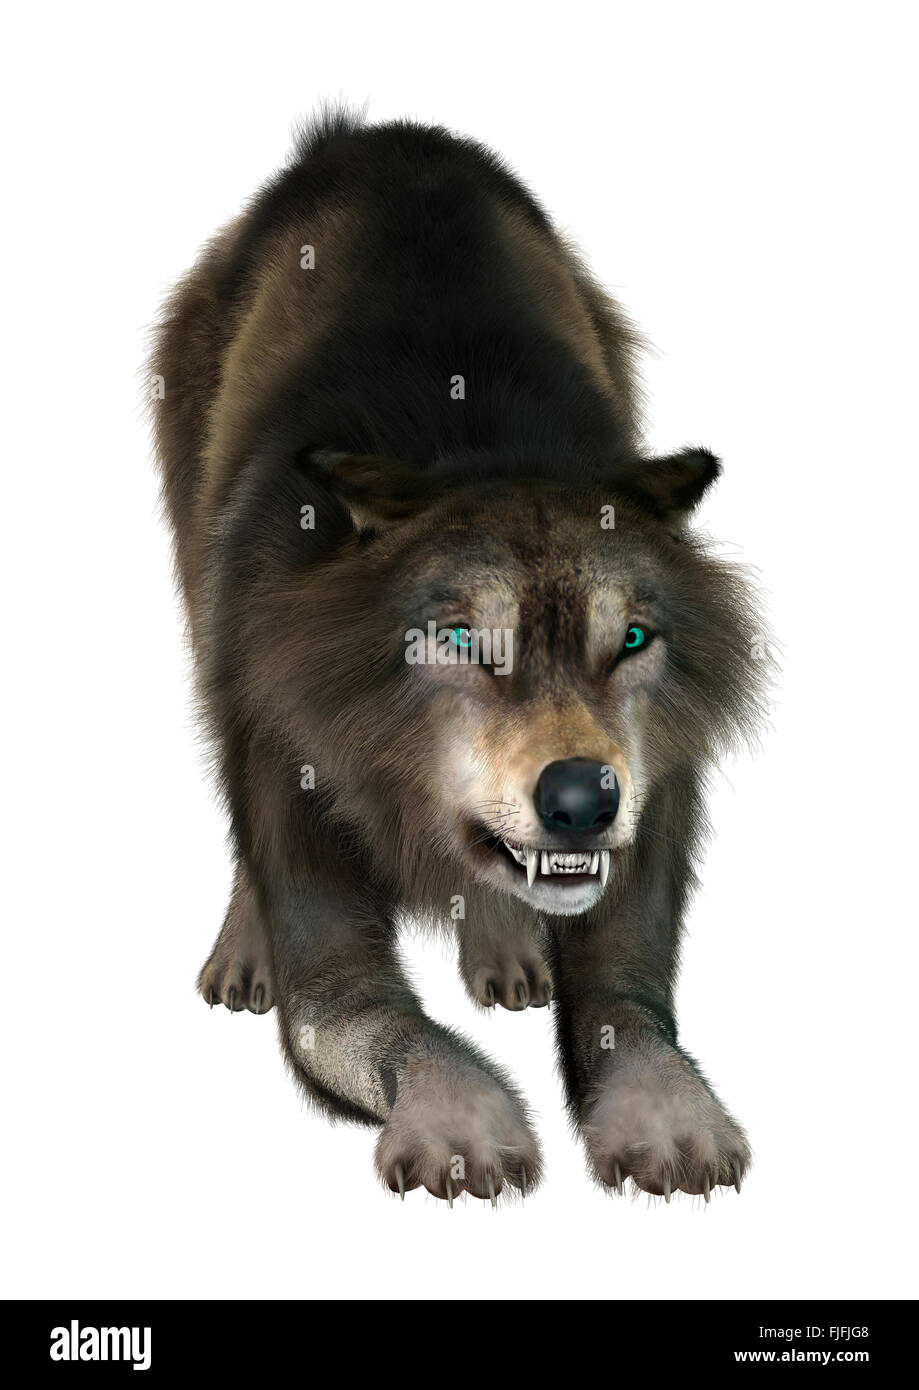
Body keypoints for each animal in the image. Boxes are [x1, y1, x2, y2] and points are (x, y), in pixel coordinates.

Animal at [150, 108, 769, 1204]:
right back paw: (242, 951)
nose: (582, 798)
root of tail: (376, 131)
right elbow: (376, 1023)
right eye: (461, 641)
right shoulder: (302, 832)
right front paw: (461, 1127)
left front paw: (670, 1118)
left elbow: (630, 1015)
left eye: (630, 641)